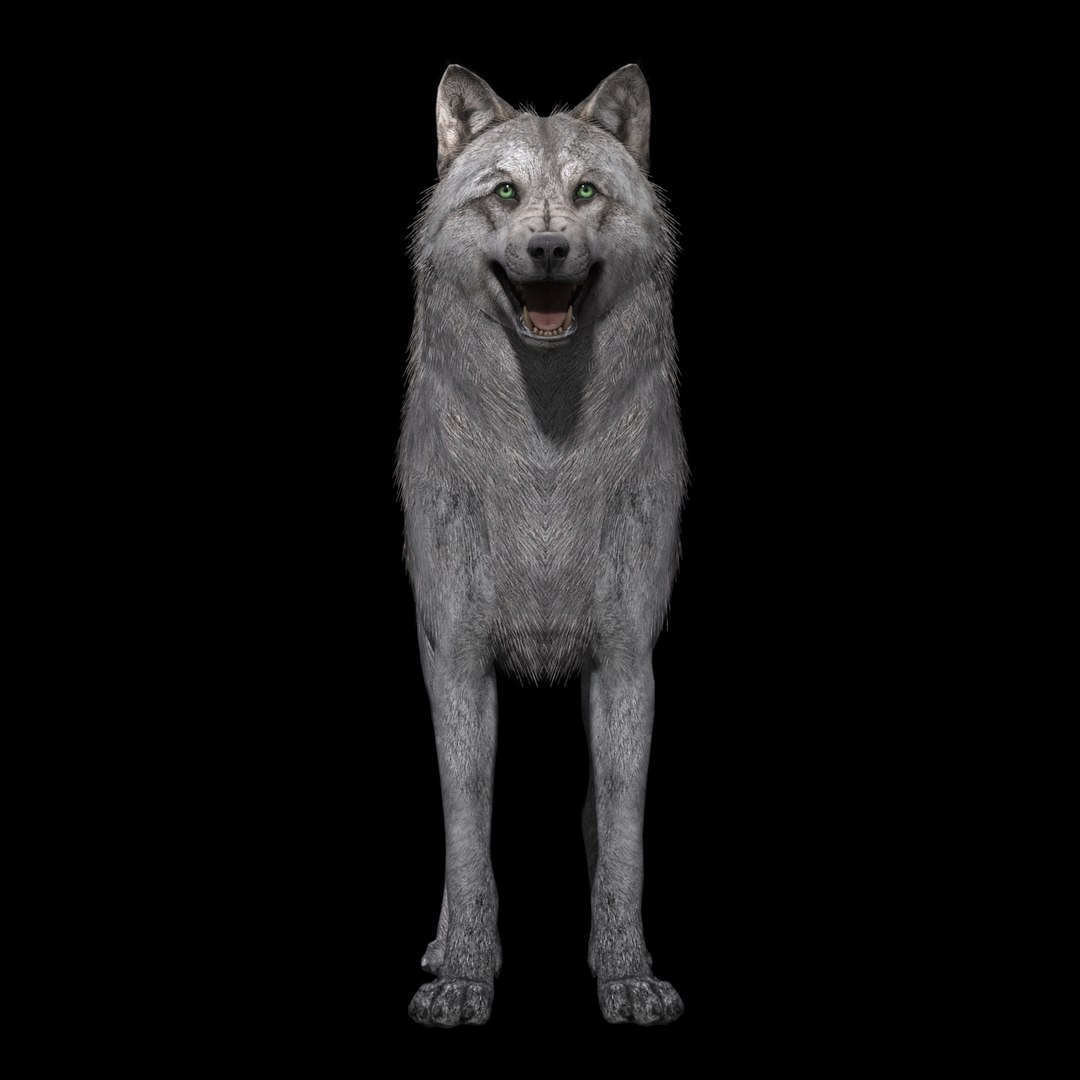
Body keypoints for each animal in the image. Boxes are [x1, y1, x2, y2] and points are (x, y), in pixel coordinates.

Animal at [396, 63, 688, 1027]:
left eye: (586, 192)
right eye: (505, 194)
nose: (551, 249)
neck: (546, 458)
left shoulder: (627, 664)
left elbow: (625, 840)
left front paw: (627, 974)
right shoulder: (457, 663)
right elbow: (467, 842)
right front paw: (462, 976)